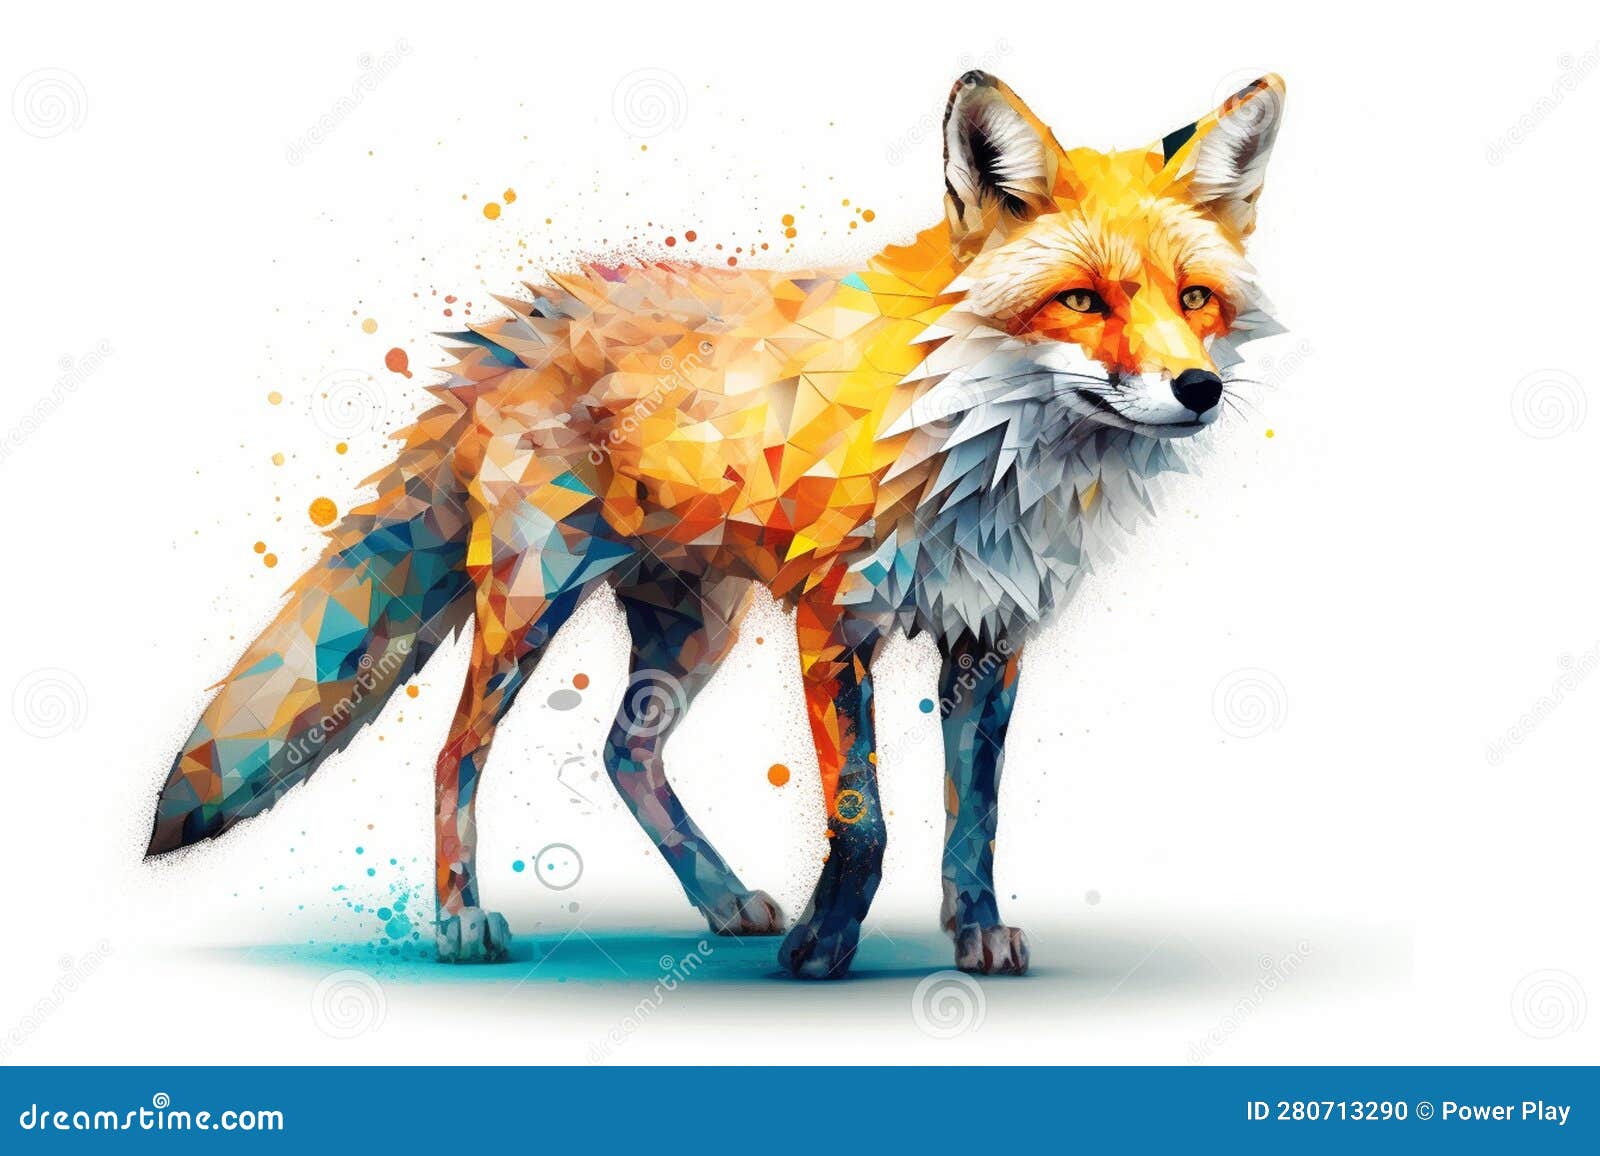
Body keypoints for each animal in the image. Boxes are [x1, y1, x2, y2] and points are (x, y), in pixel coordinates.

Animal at [147, 70, 1286, 979]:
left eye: (1194, 299)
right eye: (1083, 300)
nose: (1196, 389)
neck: (984, 453)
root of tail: (514, 326)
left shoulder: (988, 635)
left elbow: (977, 820)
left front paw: (974, 935)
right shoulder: (835, 621)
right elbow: (863, 821)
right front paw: (826, 948)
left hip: (699, 625)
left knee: (623, 753)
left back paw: (720, 896)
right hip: (531, 604)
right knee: (454, 752)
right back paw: (463, 920)